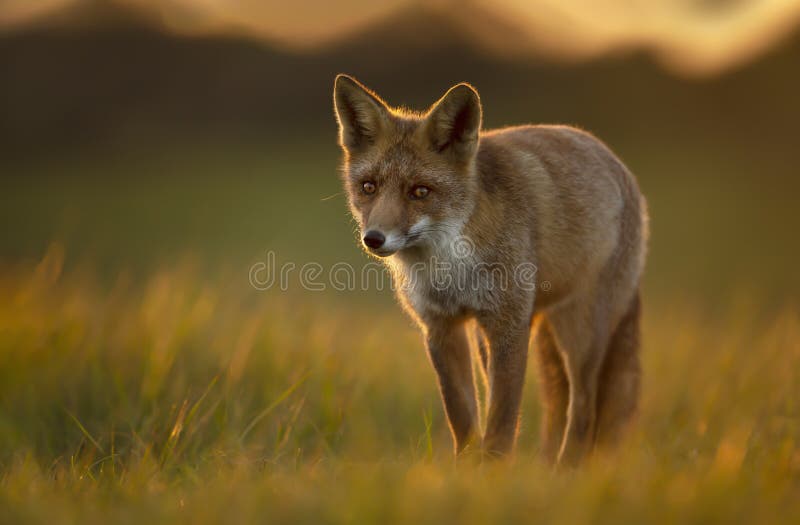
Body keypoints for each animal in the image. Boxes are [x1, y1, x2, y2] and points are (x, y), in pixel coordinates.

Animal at [333, 74, 648, 465]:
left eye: (420, 191)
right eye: (368, 187)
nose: (374, 238)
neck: (449, 269)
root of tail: (620, 166)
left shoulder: (507, 326)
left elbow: (502, 418)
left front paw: (494, 472)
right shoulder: (441, 327)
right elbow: (463, 416)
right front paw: (467, 469)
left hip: (580, 330)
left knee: (584, 407)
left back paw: (567, 470)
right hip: (517, 335)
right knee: (558, 407)